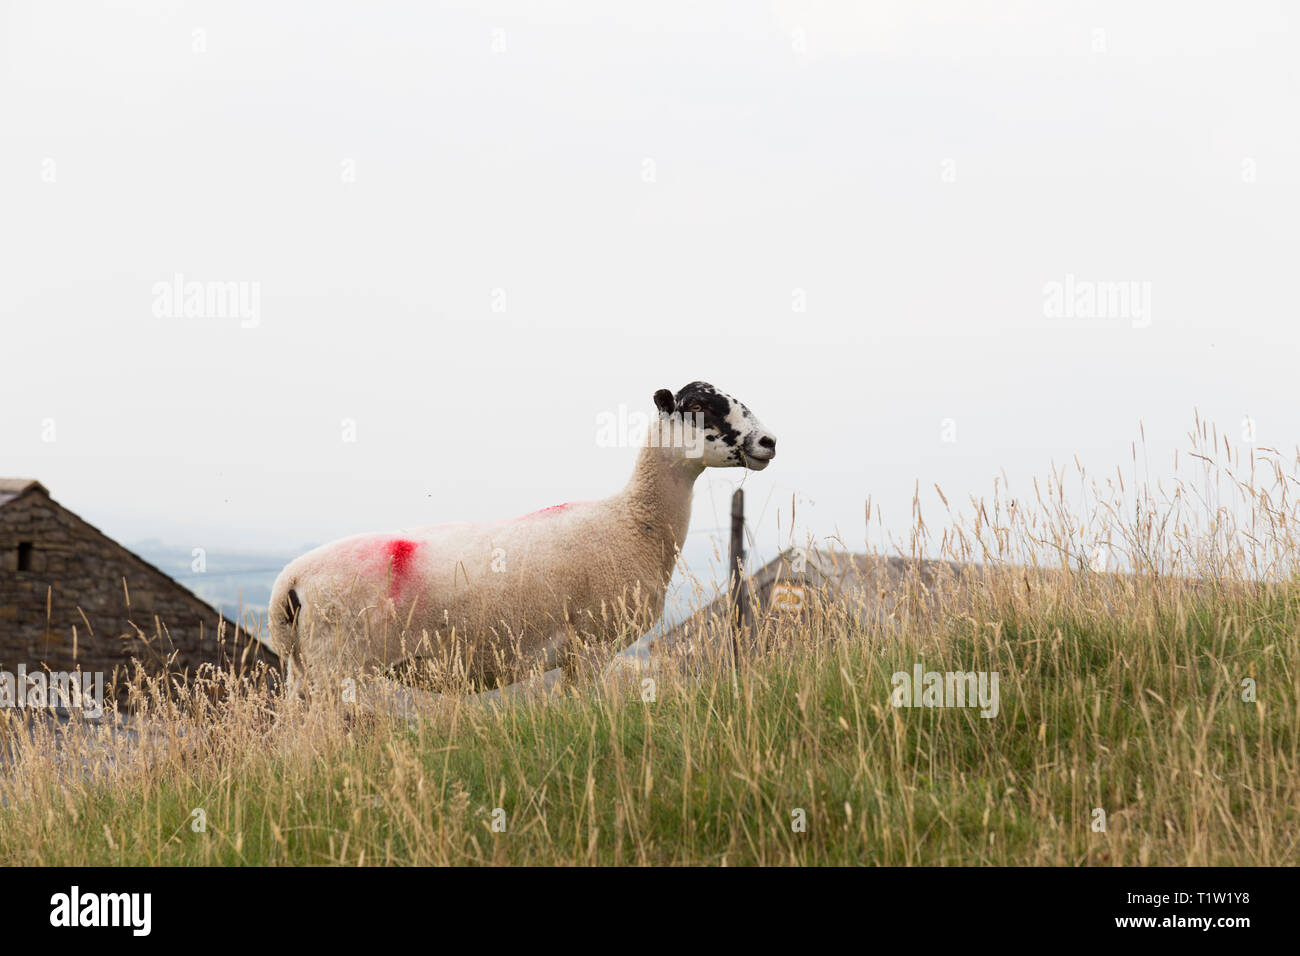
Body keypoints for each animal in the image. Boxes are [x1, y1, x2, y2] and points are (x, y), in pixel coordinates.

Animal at [268, 381, 777, 711]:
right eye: (702, 407)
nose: (768, 441)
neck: (633, 522)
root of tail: (288, 584)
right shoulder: (590, 645)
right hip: (337, 664)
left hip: (302, 668)